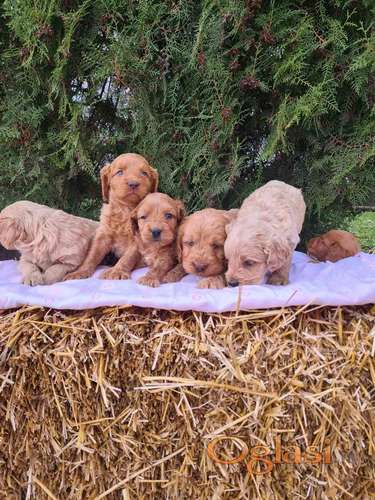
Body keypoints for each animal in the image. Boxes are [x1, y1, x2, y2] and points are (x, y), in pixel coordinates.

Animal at [64, 152, 159, 282]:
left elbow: (127, 258)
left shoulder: (137, 239)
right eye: (119, 172)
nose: (133, 184)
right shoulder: (103, 235)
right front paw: (80, 271)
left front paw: (116, 271)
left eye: (144, 173)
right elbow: (92, 254)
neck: (125, 210)